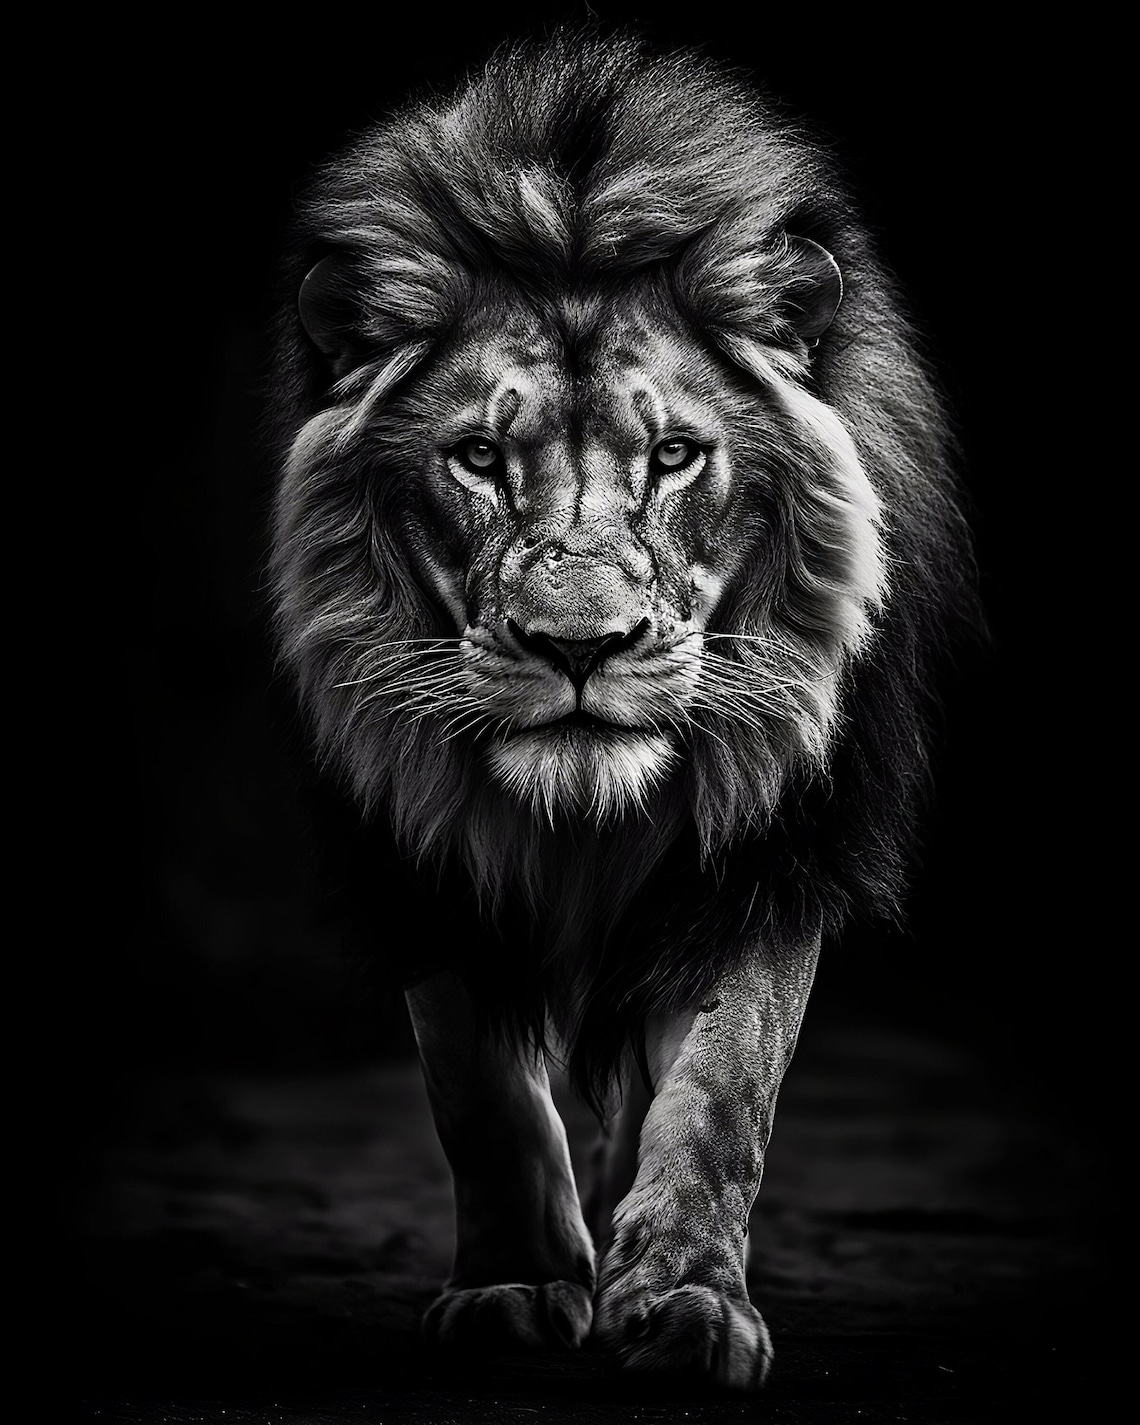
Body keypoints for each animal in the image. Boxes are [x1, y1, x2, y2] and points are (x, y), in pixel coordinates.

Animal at [266, 29, 980, 1389]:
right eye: (479, 459)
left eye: (676, 456)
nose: (579, 646)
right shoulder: (428, 859)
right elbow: (483, 1094)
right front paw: (514, 1286)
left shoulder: (768, 854)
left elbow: (722, 1092)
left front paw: (687, 1301)